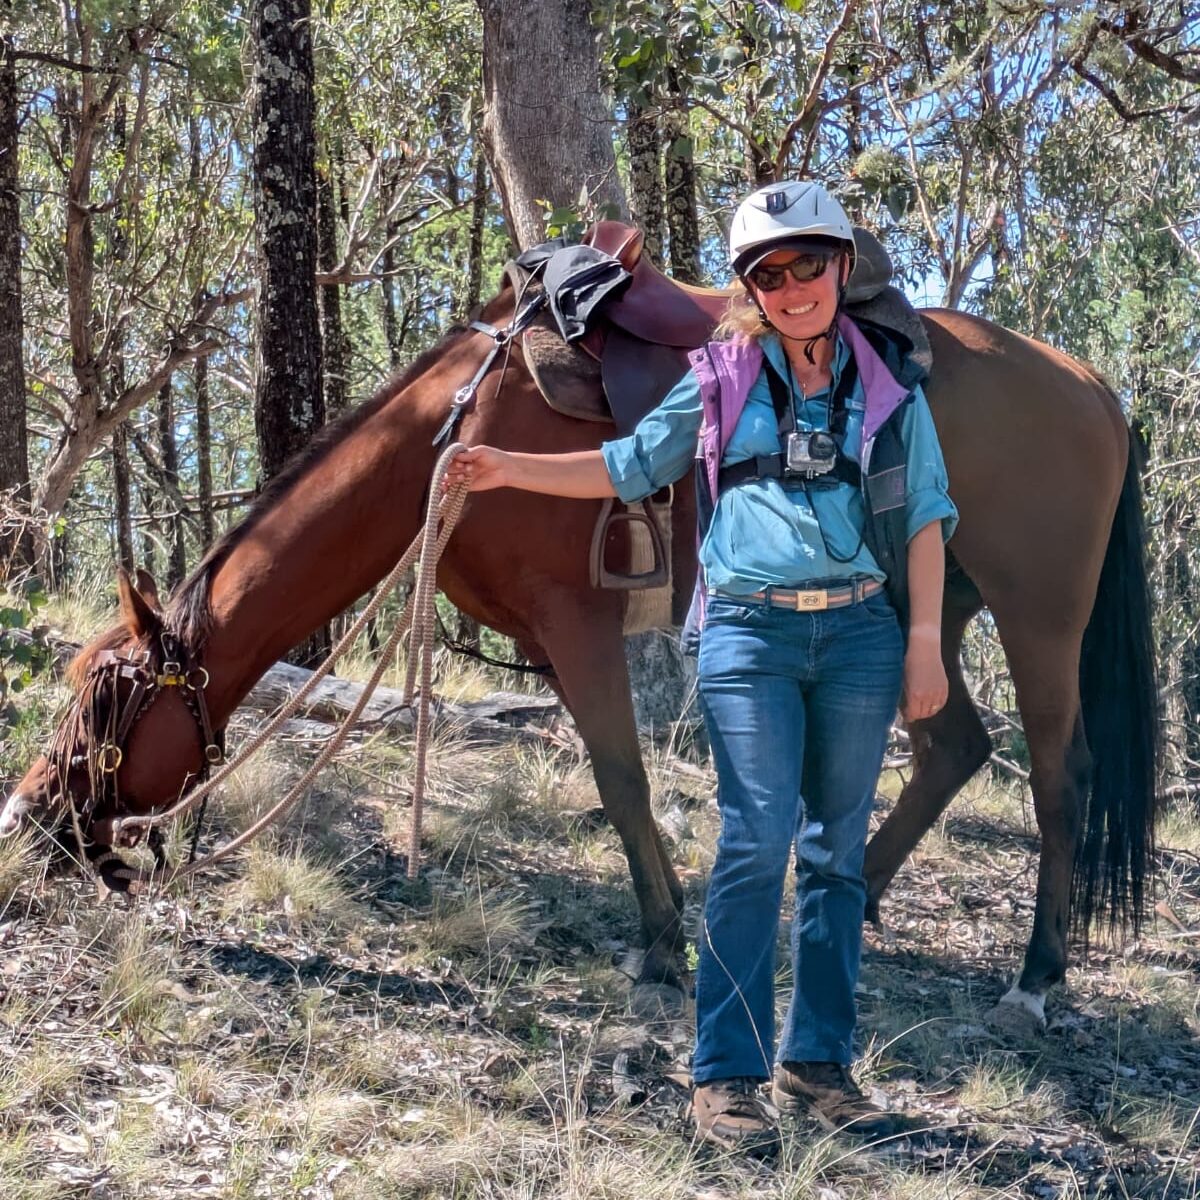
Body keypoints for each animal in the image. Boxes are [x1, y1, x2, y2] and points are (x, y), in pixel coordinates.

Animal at [1, 236, 1158, 1027]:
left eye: (107, 698)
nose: (30, 815)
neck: (452, 435)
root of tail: (1097, 388)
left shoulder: (578, 625)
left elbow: (623, 778)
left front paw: (661, 948)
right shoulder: (549, 646)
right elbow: (618, 782)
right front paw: (673, 930)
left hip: (1036, 613)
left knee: (1060, 776)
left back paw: (1036, 978)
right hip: (925, 607)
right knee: (954, 746)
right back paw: (839, 909)